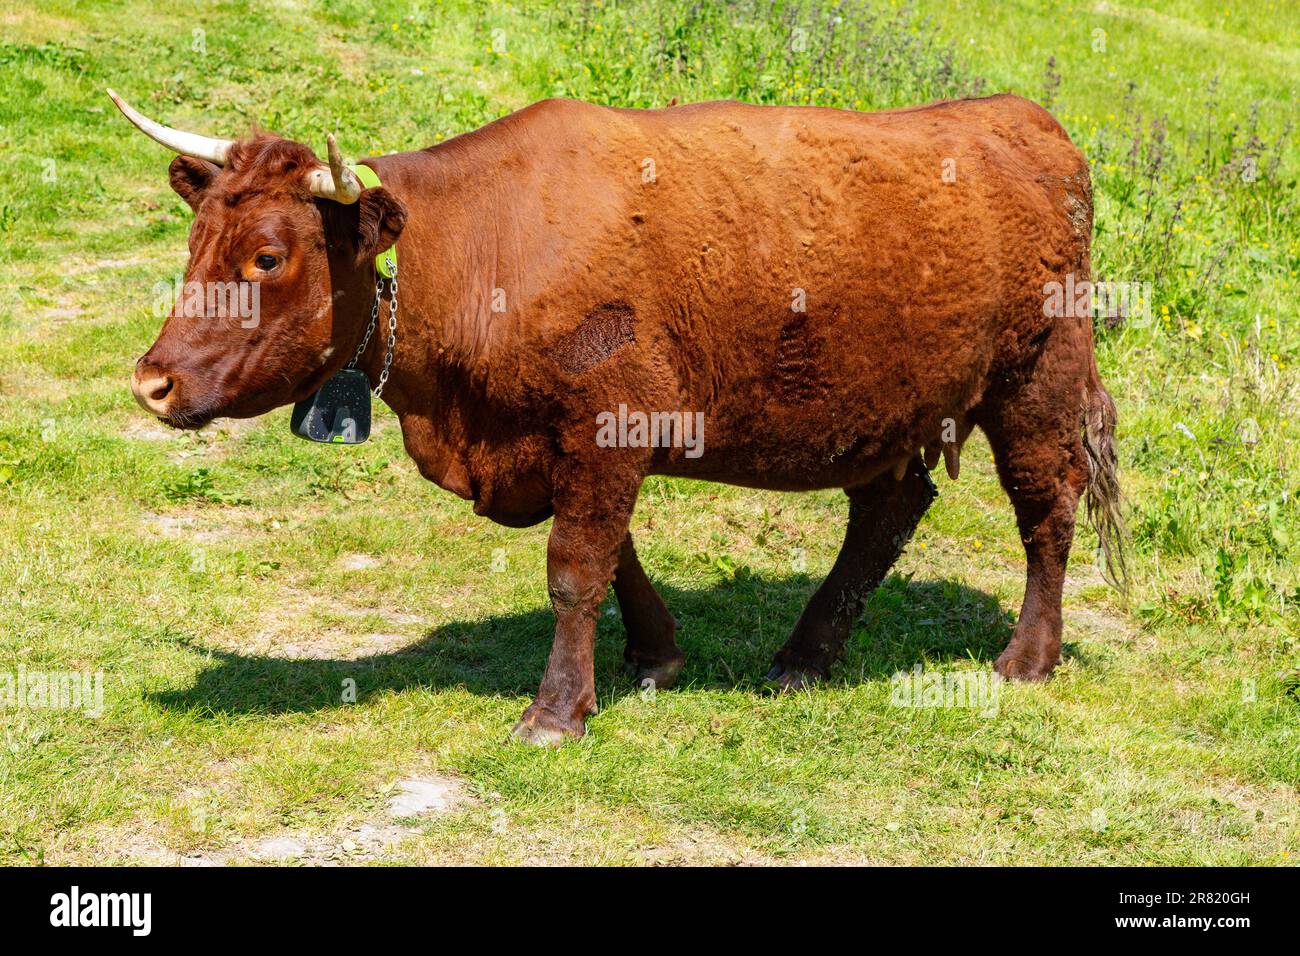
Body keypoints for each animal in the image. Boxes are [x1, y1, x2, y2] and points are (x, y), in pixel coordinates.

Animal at [109, 88, 1124, 744]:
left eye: (269, 257)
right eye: (198, 239)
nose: (152, 383)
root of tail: (1023, 121)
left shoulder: (604, 428)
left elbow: (573, 568)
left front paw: (557, 712)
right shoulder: (572, 444)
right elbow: (611, 555)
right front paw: (654, 656)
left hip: (1036, 380)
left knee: (1046, 507)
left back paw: (1027, 658)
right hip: (890, 406)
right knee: (888, 512)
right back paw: (807, 655)